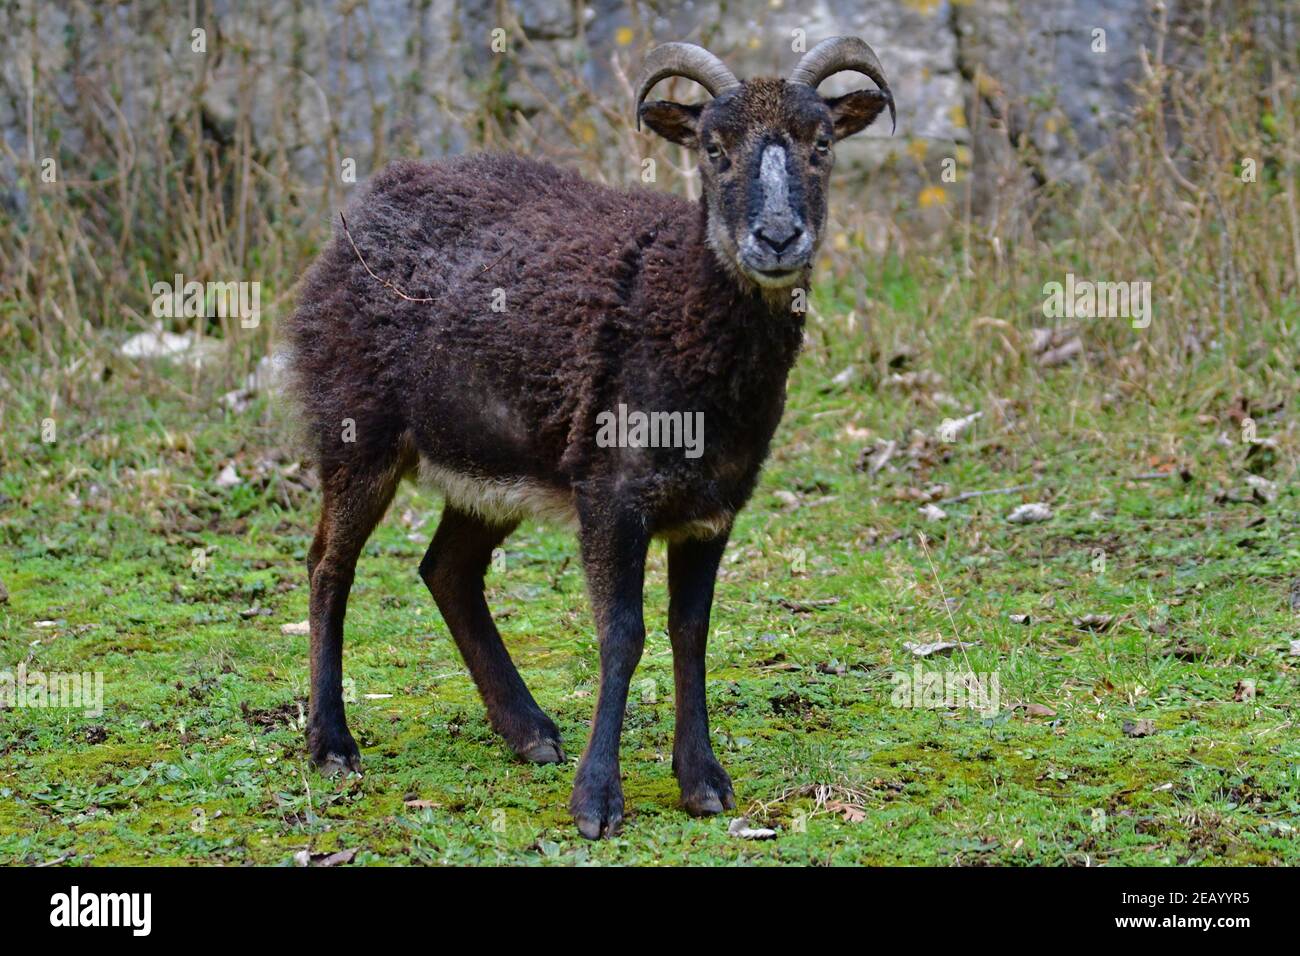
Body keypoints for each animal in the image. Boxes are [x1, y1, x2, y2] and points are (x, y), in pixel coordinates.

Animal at [285, 37, 895, 839]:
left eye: (822, 143)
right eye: (713, 148)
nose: (777, 238)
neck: (684, 310)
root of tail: (357, 213)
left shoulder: (713, 506)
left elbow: (690, 632)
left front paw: (703, 782)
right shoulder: (612, 490)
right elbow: (623, 634)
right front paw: (598, 800)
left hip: (493, 461)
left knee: (447, 570)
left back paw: (530, 732)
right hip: (357, 429)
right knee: (330, 562)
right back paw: (333, 744)